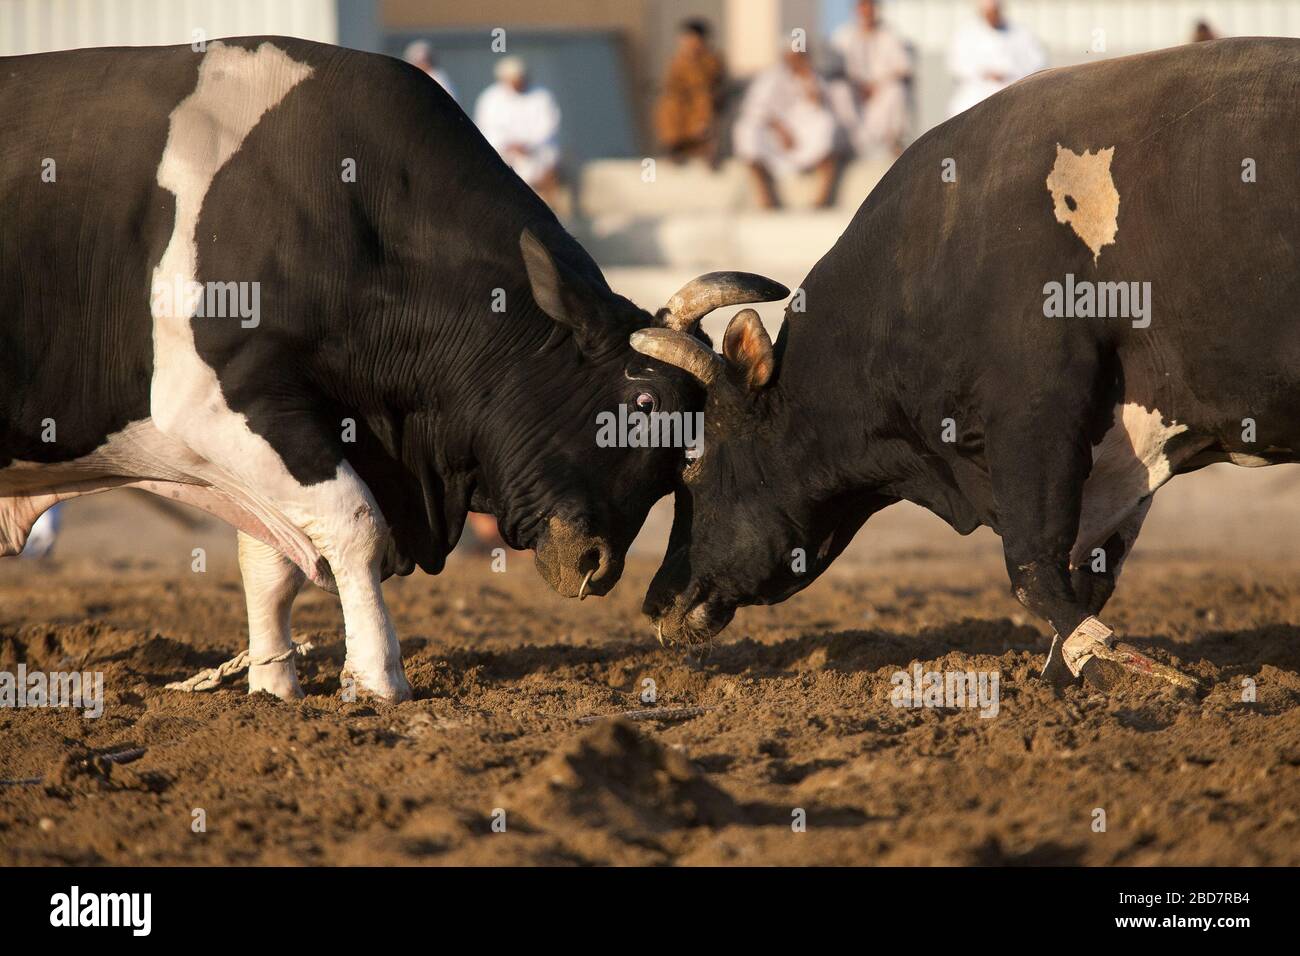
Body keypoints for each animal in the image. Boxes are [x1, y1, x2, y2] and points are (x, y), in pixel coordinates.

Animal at [0, 37, 788, 701]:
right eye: (644, 405)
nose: (597, 565)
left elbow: (271, 564)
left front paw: (274, 688)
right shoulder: (215, 404)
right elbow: (352, 525)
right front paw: (378, 678)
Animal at [631, 38, 1300, 690]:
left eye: (691, 460)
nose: (656, 602)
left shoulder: (1035, 418)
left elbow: (1036, 572)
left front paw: (1155, 674)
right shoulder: (1124, 456)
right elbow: (1086, 577)